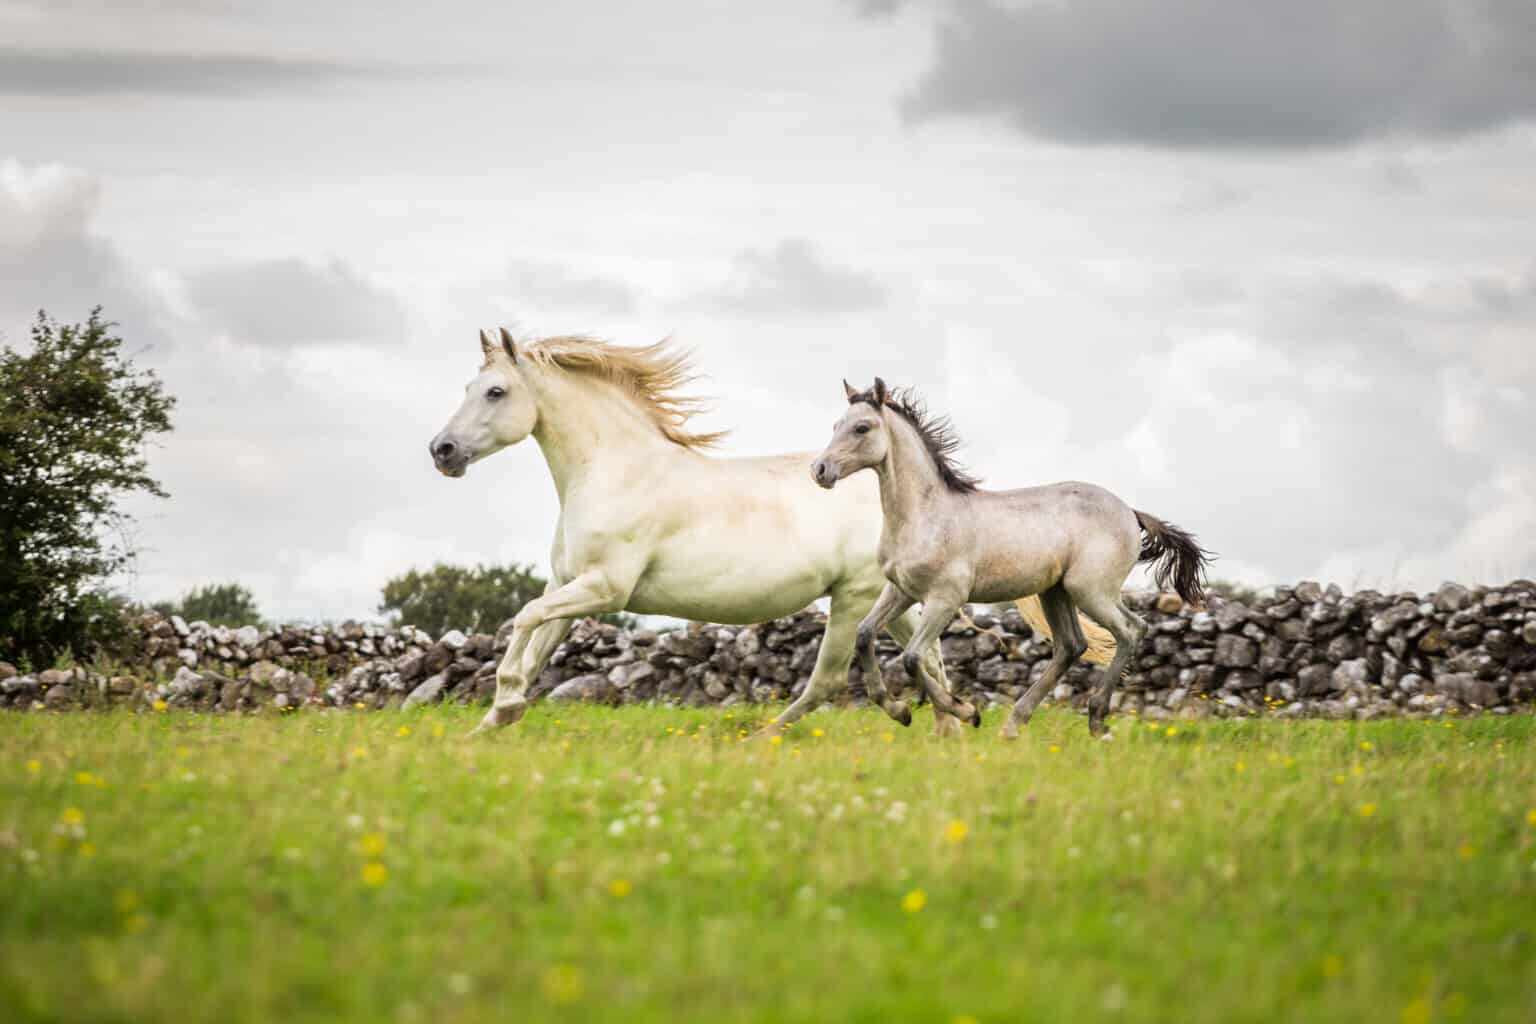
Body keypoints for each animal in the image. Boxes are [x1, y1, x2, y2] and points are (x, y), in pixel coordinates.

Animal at [428, 330, 1103, 737]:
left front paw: (501, 703)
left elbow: (521, 622)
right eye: (468, 387)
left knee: (830, 677)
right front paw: (491, 725)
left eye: (495, 391)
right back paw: (951, 725)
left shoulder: (604, 589)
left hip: (855, 596)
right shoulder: (571, 586)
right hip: (903, 596)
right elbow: (534, 635)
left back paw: (775, 734)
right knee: (928, 657)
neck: (617, 472)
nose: (442, 451)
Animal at [811, 377, 1212, 738]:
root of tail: (1131, 512)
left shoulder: (945, 598)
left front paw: (965, 711)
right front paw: (899, 710)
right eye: (835, 425)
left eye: (862, 427)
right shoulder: (902, 590)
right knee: (1072, 646)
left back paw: (1097, 721)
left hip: (1090, 591)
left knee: (1131, 630)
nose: (820, 470)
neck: (924, 514)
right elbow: (864, 636)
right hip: (1056, 592)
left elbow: (910, 658)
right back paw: (1014, 724)